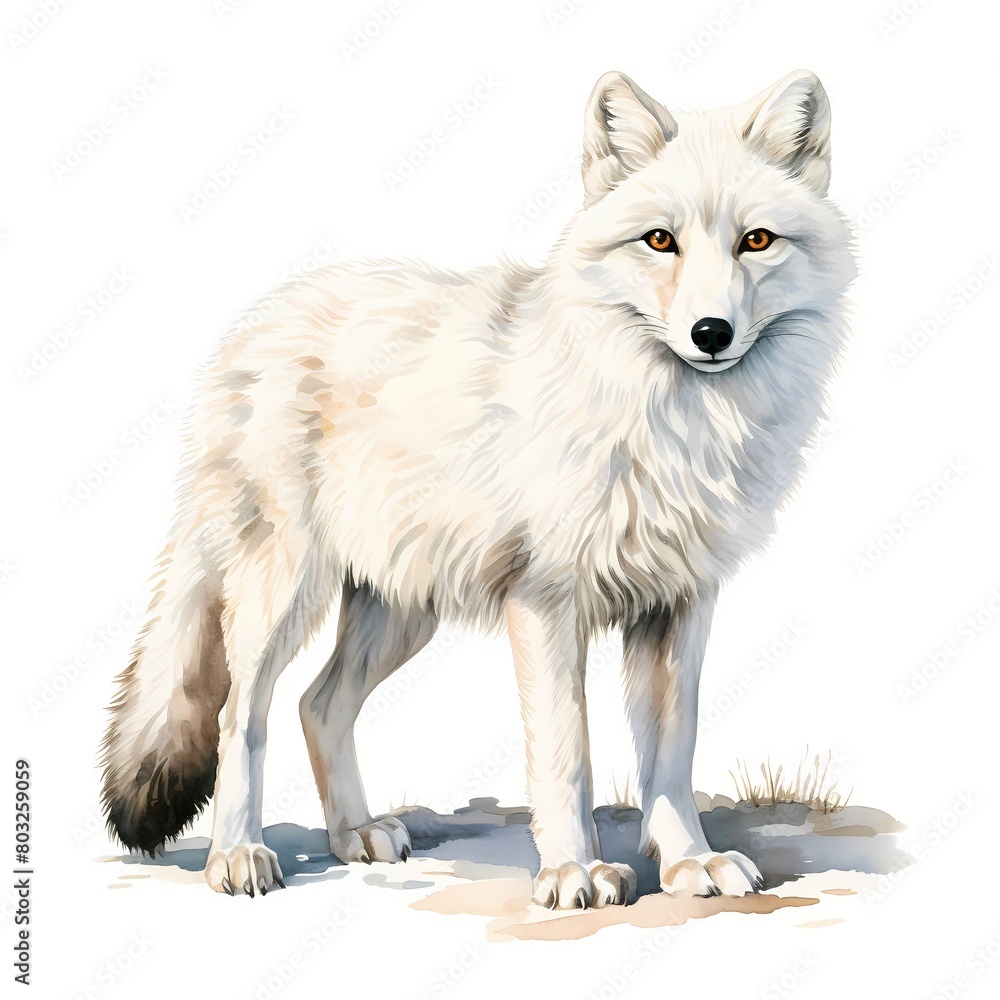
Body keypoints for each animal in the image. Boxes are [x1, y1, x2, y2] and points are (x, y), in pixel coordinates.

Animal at [101, 69, 855, 908]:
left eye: (756, 241)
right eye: (660, 241)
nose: (711, 334)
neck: (672, 423)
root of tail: (249, 328)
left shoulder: (680, 605)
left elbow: (671, 754)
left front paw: (691, 862)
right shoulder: (548, 603)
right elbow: (566, 753)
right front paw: (572, 870)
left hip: (400, 614)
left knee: (318, 705)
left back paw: (354, 834)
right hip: (287, 596)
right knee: (242, 715)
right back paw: (236, 855)